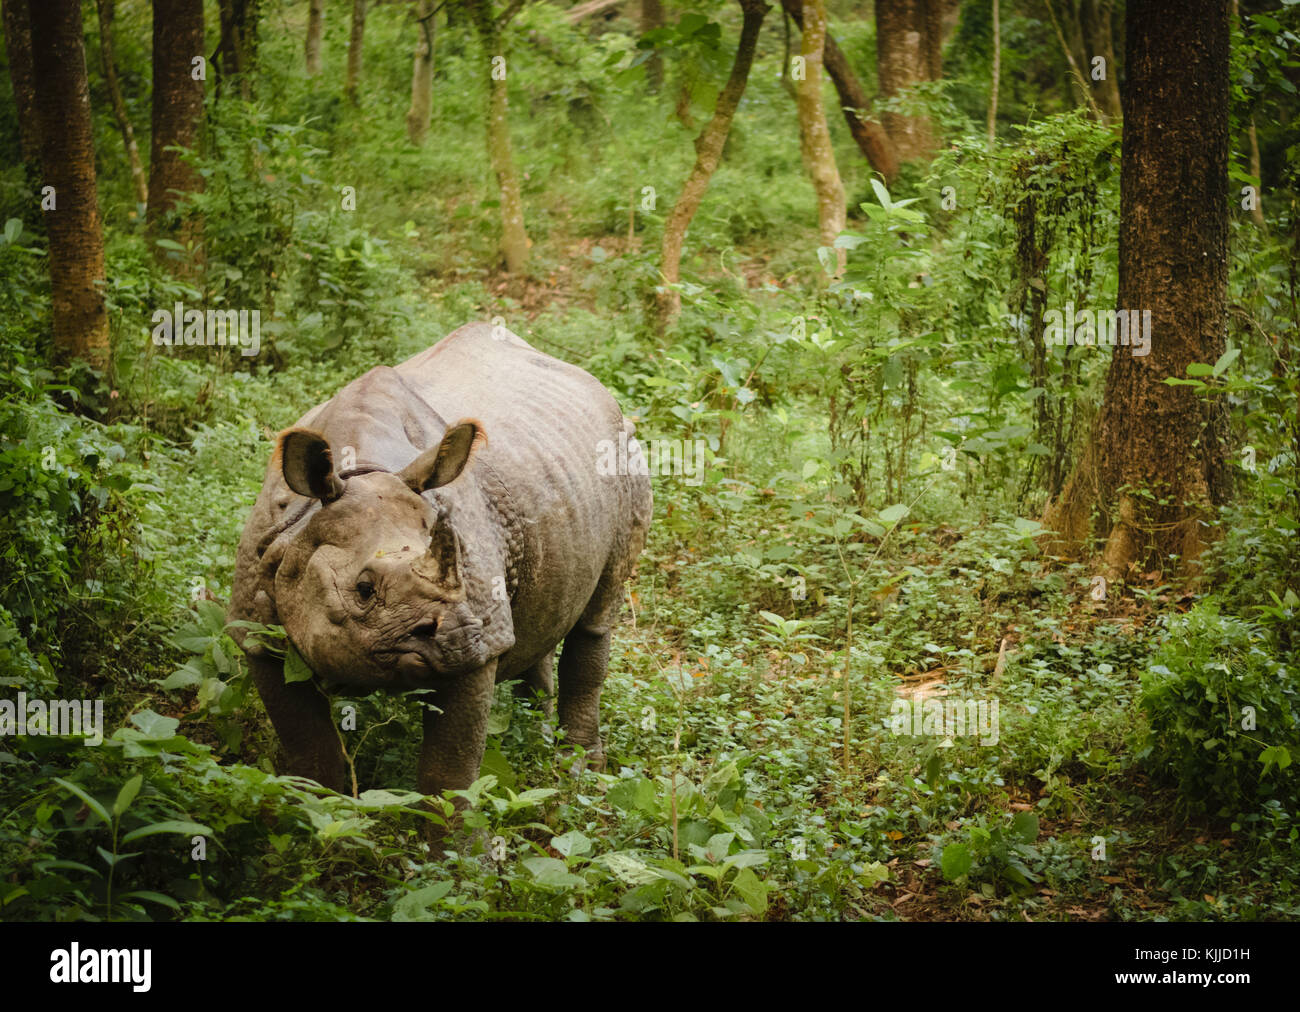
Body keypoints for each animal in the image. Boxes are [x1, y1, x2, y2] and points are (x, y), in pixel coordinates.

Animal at [228, 323, 652, 798]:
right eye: (363, 590)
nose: (460, 635)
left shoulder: (480, 647)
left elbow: (447, 777)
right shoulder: (256, 621)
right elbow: (312, 756)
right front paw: (315, 807)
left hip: (625, 454)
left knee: (595, 616)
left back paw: (581, 772)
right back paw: (538, 740)